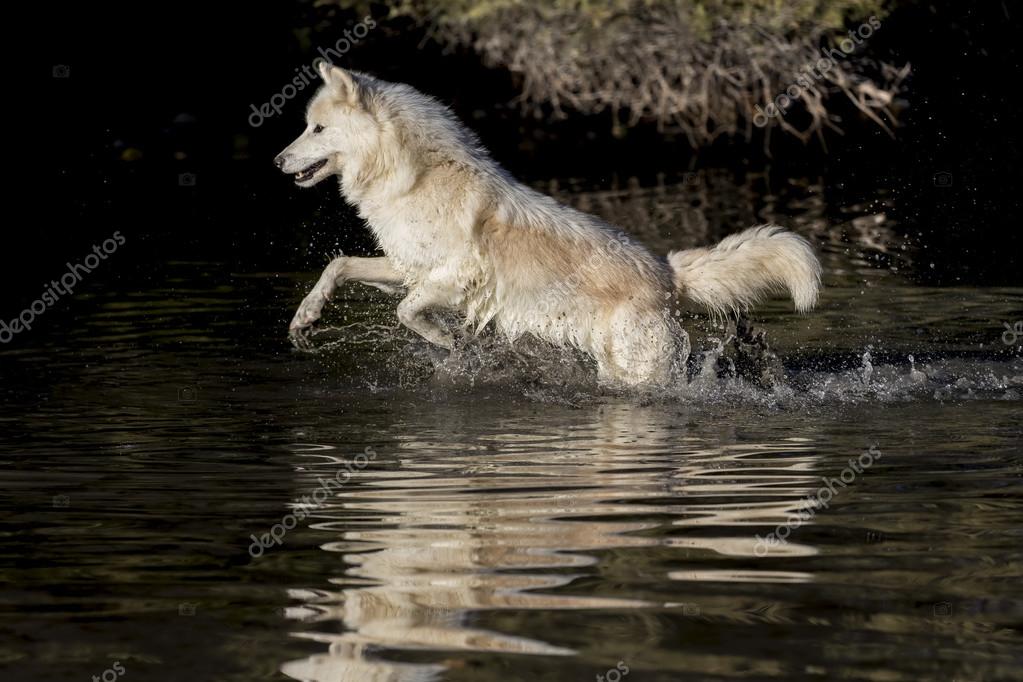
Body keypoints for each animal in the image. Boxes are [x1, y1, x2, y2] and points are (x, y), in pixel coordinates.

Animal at [275, 63, 821, 388]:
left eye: (317, 128)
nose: (278, 161)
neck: (411, 177)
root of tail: (667, 273)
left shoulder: (458, 278)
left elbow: (407, 312)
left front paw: (450, 344)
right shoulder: (407, 267)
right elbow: (338, 265)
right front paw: (305, 317)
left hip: (633, 371)